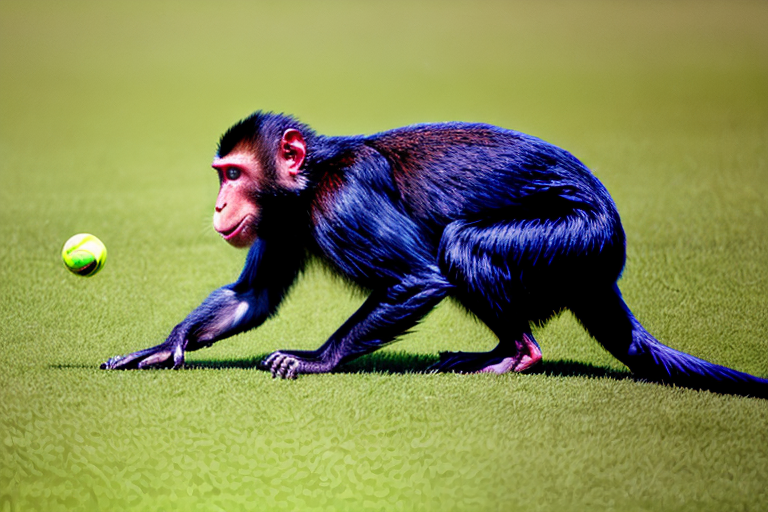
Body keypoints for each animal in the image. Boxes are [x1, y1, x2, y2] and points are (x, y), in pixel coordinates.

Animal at [101, 111, 768, 398]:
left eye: (234, 175)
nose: (218, 206)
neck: (309, 182)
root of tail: (610, 257)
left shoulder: (341, 203)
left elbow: (417, 278)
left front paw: (318, 360)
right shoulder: (285, 221)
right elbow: (251, 298)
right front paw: (163, 347)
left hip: (577, 239)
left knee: (460, 243)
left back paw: (516, 354)